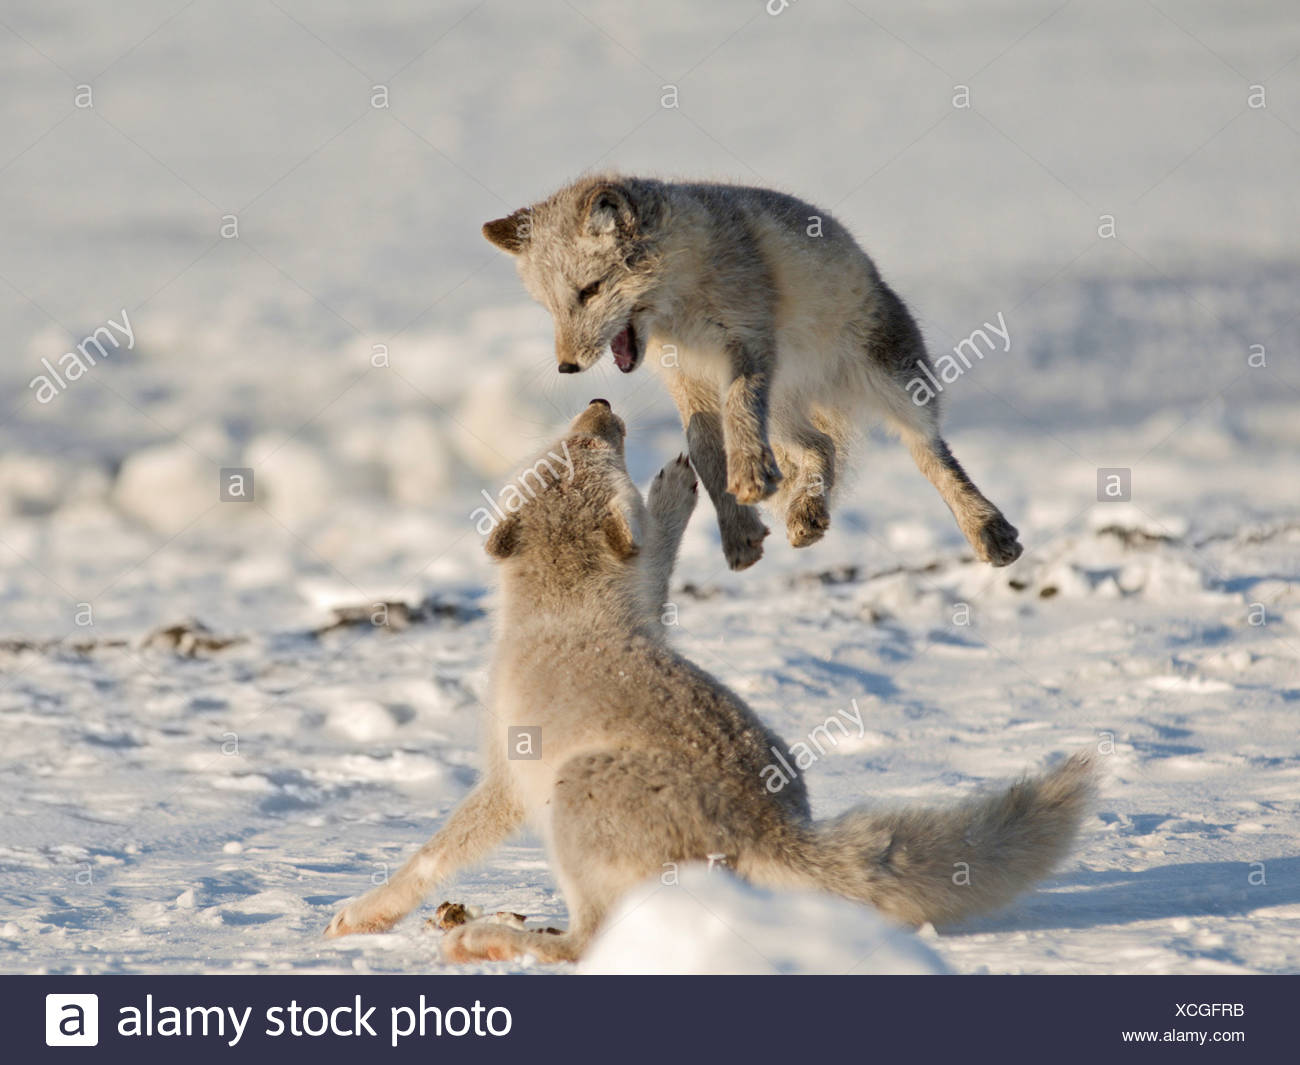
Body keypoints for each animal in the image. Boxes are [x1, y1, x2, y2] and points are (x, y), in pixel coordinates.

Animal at [324, 400, 1095, 964]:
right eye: (568, 448)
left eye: (597, 450)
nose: (601, 404)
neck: (567, 608)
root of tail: (772, 829)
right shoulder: (646, 603)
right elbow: (658, 555)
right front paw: (676, 489)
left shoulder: (508, 779)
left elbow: (432, 854)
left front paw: (366, 911)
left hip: (573, 793)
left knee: (585, 942)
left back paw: (488, 937)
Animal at [482, 174, 1024, 573]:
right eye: (550, 306)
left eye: (590, 290)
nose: (567, 366)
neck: (685, 304)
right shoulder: (691, 380)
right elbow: (705, 452)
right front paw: (739, 532)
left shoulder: (748, 347)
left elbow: (740, 411)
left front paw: (750, 477)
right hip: (784, 412)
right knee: (821, 449)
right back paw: (808, 513)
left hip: (893, 387)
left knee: (928, 450)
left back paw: (988, 529)